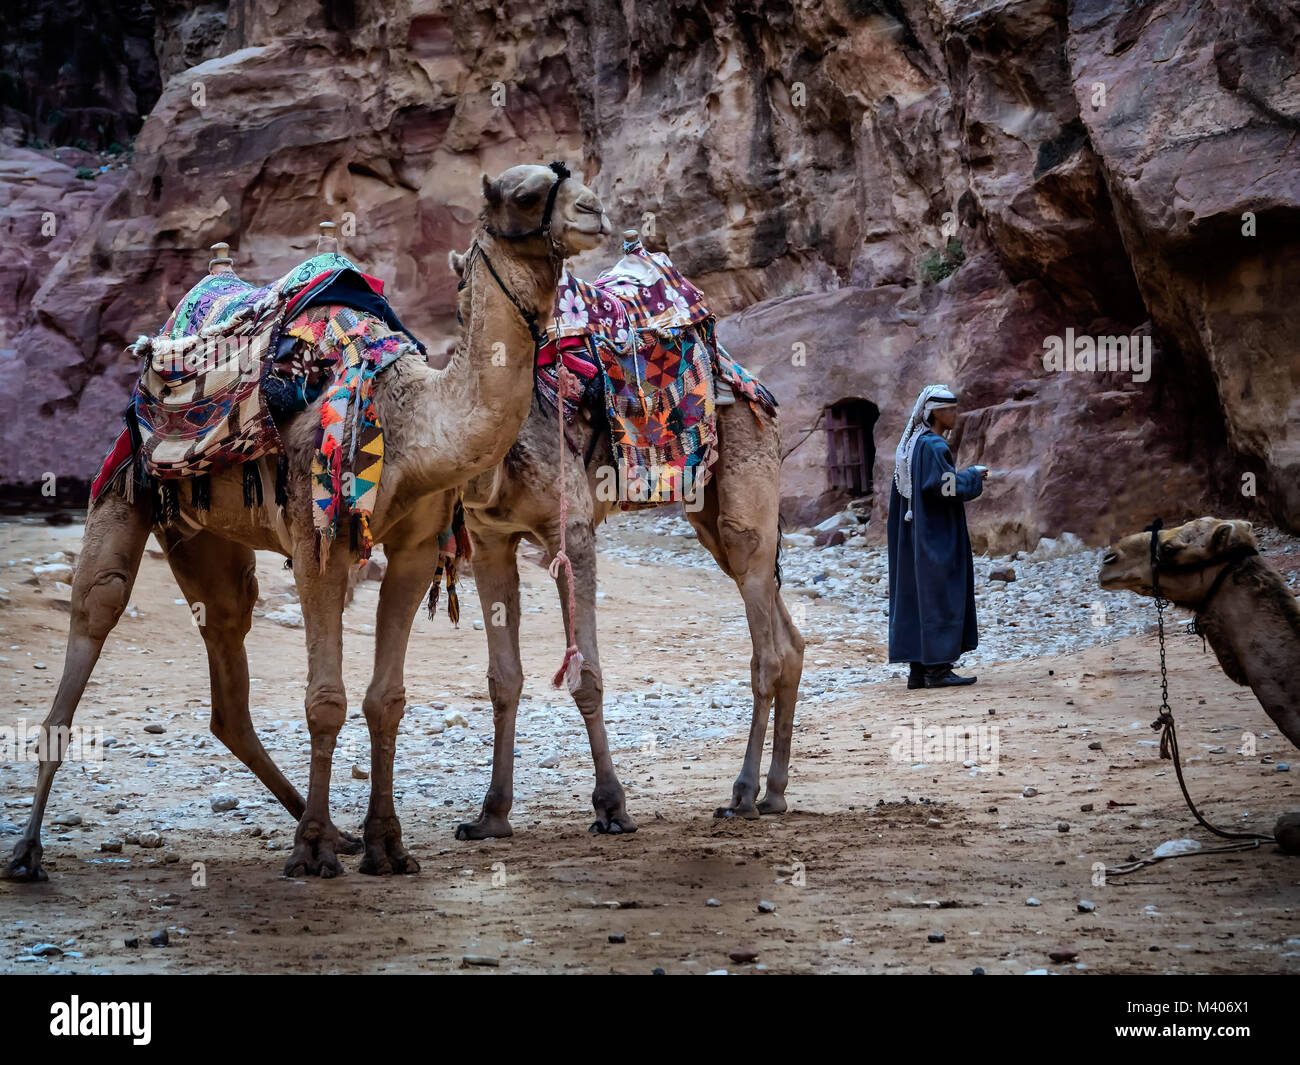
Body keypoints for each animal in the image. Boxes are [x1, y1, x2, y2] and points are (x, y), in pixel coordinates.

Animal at [4, 164, 611, 882]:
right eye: (524, 194)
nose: (597, 210)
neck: (412, 423)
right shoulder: (320, 541)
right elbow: (325, 699)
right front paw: (314, 851)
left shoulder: (413, 549)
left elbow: (386, 698)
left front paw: (383, 845)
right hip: (126, 483)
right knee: (96, 609)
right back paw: (27, 852)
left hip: (203, 538)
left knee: (228, 673)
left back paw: (333, 830)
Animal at [447, 249, 805, 840]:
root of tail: (750, 383)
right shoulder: (488, 539)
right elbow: (503, 680)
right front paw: (490, 816)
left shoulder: (571, 533)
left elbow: (586, 675)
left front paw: (611, 807)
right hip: (709, 516)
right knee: (789, 640)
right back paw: (775, 793)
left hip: (746, 477)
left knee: (768, 651)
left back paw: (743, 795)